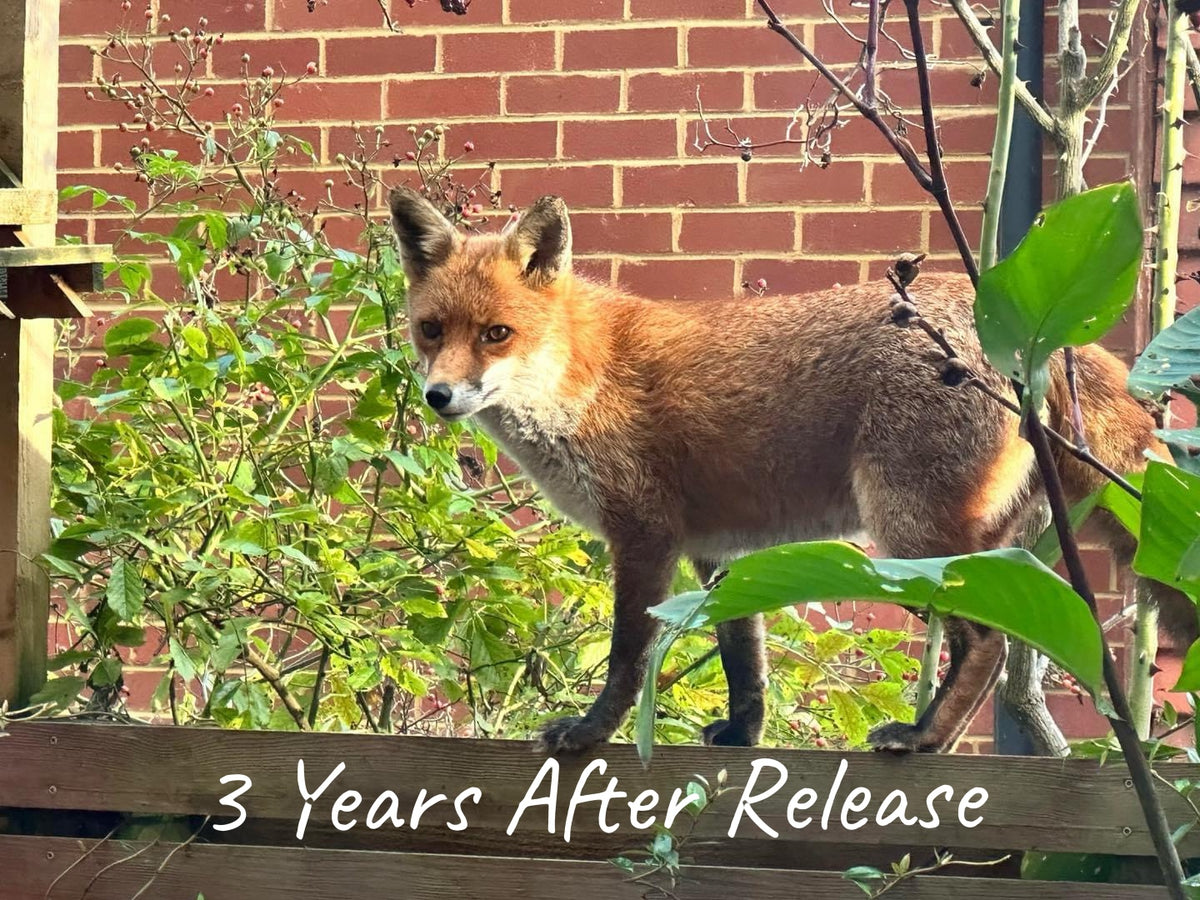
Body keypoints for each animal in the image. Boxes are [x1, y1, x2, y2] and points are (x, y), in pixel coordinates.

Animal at [388, 185, 1171, 755]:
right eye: (431, 330)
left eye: (497, 334)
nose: (438, 396)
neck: (580, 373)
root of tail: (1032, 339)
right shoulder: (723, 552)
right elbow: (744, 661)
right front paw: (744, 736)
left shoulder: (644, 534)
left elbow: (626, 659)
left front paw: (589, 734)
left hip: (910, 531)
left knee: (989, 639)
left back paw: (924, 739)